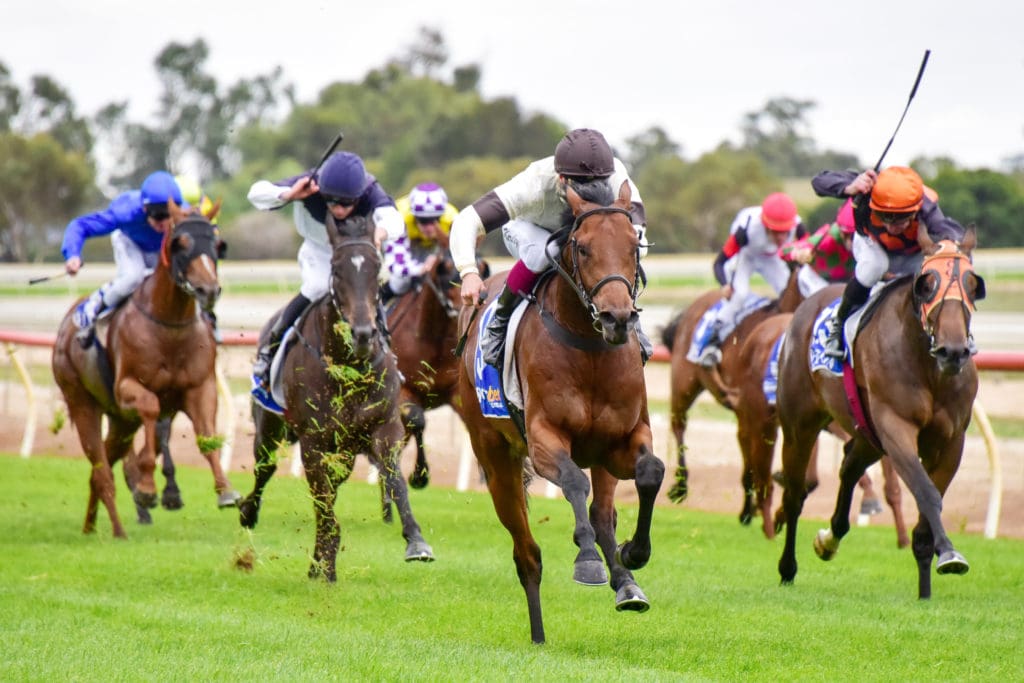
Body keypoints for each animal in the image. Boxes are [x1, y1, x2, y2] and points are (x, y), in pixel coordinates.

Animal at [51, 202, 238, 538]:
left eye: (217, 244)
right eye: (180, 243)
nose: (208, 290)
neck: (169, 326)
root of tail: (66, 324)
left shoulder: (199, 387)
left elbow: (206, 436)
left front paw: (225, 490)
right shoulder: (128, 388)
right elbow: (151, 410)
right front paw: (148, 489)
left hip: (121, 422)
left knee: (101, 469)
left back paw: (91, 526)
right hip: (81, 401)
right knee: (101, 471)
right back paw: (118, 531)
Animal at [237, 213, 434, 580]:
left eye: (376, 267)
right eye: (337, 269)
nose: (363, 333)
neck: (348, 365)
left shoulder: (384, 427)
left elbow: (394, 478)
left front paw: (416, 541)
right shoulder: (313, 441)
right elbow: (324, 506)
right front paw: (325, 565)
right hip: (270, 429)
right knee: (266, 469)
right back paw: (248, 511)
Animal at [455, 180, 663, 644]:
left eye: (634, 245)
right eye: (582, 248)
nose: (617, 317)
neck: (589, 346)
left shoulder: (622, 440)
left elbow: (650, 473)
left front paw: (634, 553)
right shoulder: (544, 439)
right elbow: (571, 481)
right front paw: (587, 561)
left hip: (599, 456)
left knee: (603, 514)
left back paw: (627, 585)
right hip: (496, 458)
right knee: (526, 553)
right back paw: (538, 634)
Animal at [776, 226, 983, 599]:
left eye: (974, 284)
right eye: (926, 283)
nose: (954, 351)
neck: (930, 368)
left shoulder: (951, 442)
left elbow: (926, 513)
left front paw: (927, 589)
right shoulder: (896, 428)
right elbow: (926, 492)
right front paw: (950, 553)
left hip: (867, 435)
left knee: (848, 465)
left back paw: (829, 538)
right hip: (800, 426)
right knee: (795, 493)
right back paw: (788, 568)